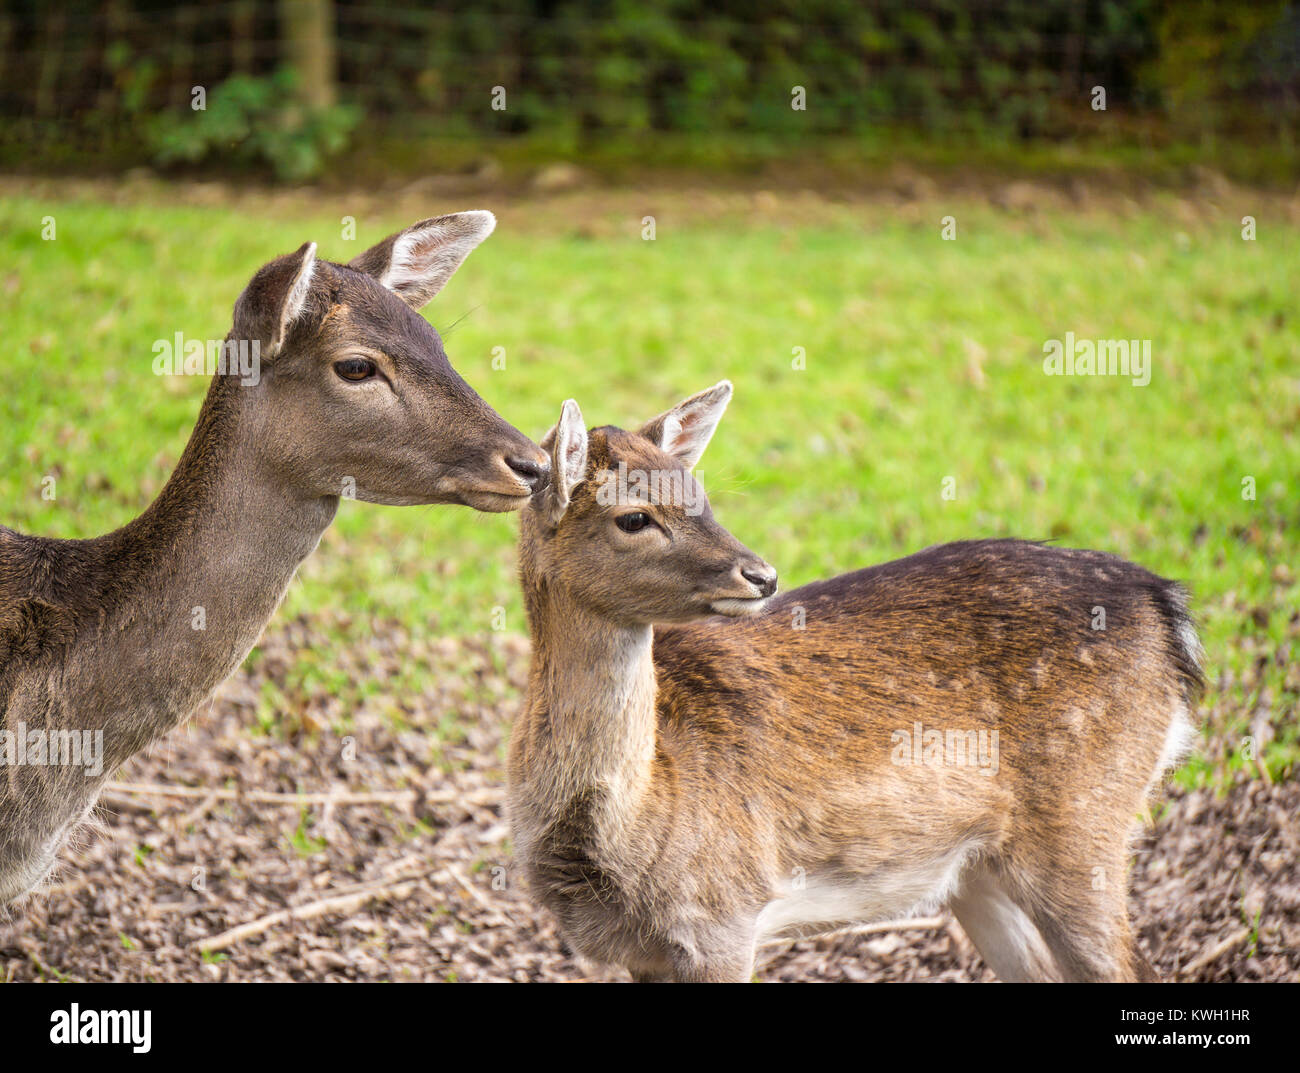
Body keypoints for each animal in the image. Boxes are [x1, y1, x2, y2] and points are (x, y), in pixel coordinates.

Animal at [507, 382, 1203, 983]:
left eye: (699, 491)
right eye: (633, 518)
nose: (762, 574)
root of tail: (1168, 608)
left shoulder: (722, 916)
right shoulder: (645, 953)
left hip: (1084, 823)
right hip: (979, 868)